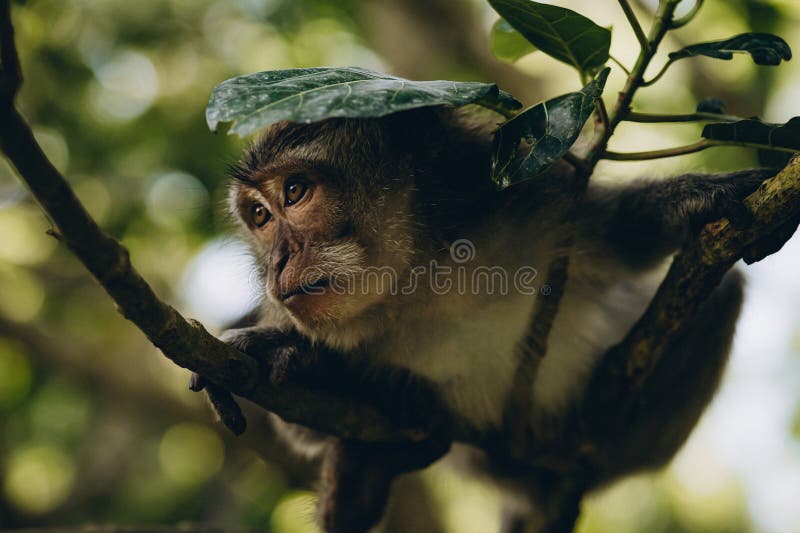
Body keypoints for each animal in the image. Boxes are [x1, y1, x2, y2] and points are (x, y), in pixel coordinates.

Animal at [190, 105, 788, 532]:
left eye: (295, 191)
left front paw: (697, 198)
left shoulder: (526, 193)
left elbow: (619, 229)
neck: (419, 279)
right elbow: (301, 430)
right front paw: (305, 360)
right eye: (259, 216)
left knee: (723, 291)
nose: (276, 263)